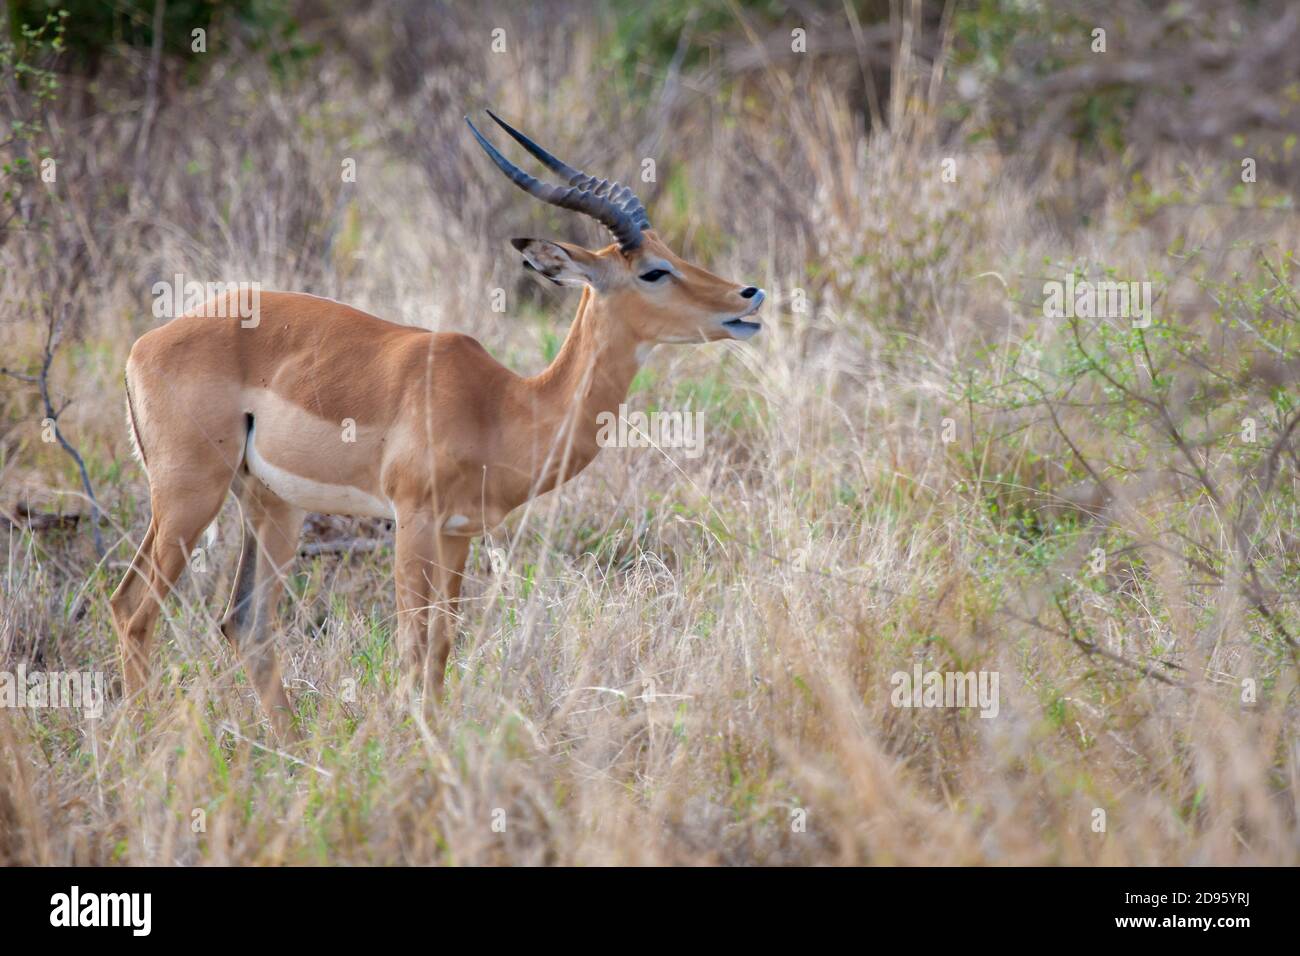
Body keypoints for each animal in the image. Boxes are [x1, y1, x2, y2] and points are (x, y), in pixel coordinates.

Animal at [108, 110, 765, 736]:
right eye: (652, 270)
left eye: (674, 252)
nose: (748, 297)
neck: (501, 405)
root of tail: (142, 345)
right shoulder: (414, 521)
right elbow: (412, 645)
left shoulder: (458, 533)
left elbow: (443, 646)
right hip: (189, 497)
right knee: (132, 606)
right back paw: (142, 745)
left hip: (273, 506)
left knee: (244, 624)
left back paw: (289, 748)